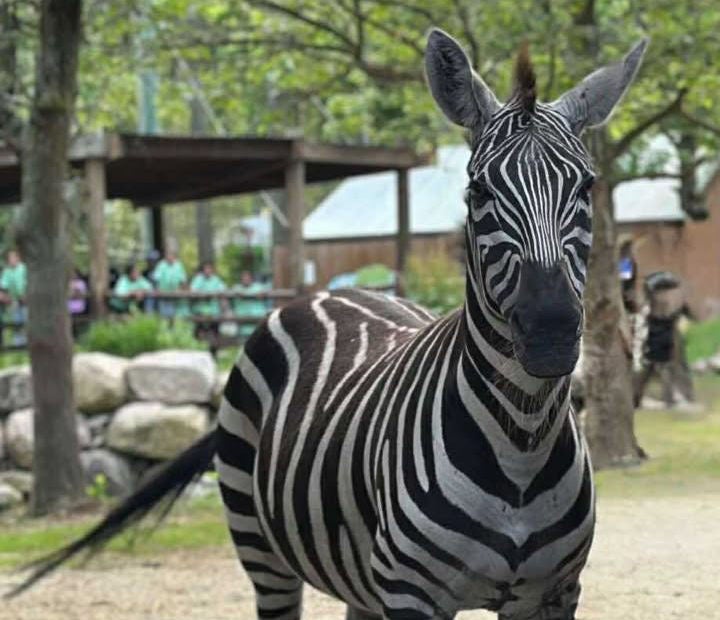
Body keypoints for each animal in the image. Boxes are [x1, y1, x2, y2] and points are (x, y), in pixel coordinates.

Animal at [9, 29, 647, 620]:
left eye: (587, 185)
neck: (522, 441)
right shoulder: (411, 594)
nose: (550, 332)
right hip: (261, 547)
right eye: (478, 189)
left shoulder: (553, 593)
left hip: (360, 578)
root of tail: (330, 294)